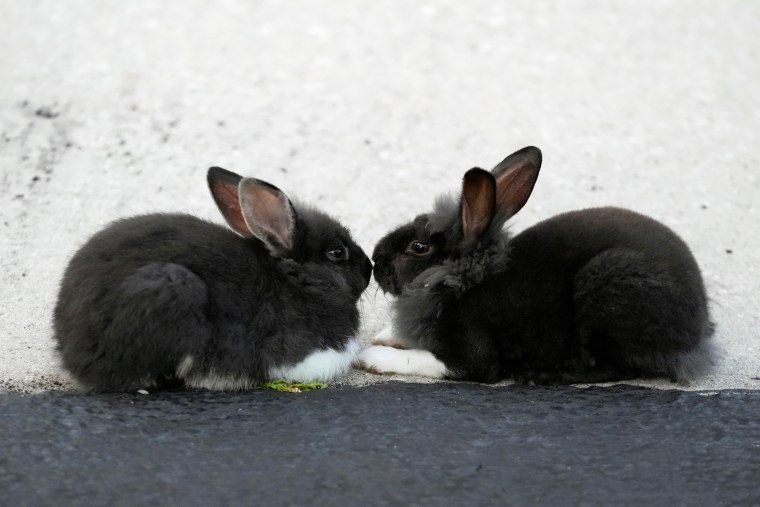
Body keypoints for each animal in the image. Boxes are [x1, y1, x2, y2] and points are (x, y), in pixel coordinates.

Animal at [357, 146, 714, 384]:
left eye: (419, 248)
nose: (375, 258)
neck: (462, 277)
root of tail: (695, 333)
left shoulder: (470, 358)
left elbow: (425, 360)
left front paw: (370, 357)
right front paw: (385, 335)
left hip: (609, 296)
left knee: (610, 369)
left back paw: (540, 375)